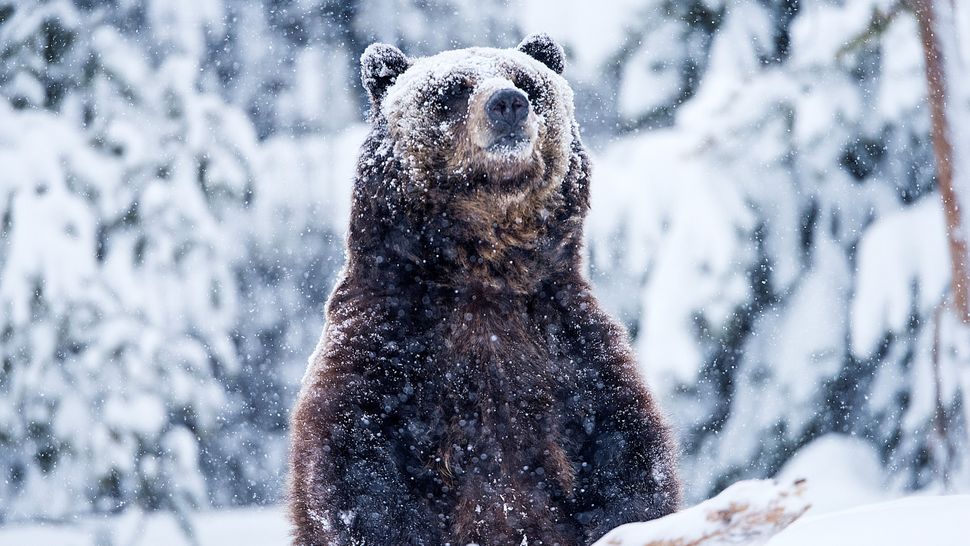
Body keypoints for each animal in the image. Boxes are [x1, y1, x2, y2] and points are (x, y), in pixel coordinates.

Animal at [288, 34, 680, 546]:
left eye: (527, 82)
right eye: (452, 90)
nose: (508, 104)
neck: (486, 273)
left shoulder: (569, 347)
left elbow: (628, 456)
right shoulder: (385, 346)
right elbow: (355, 469)